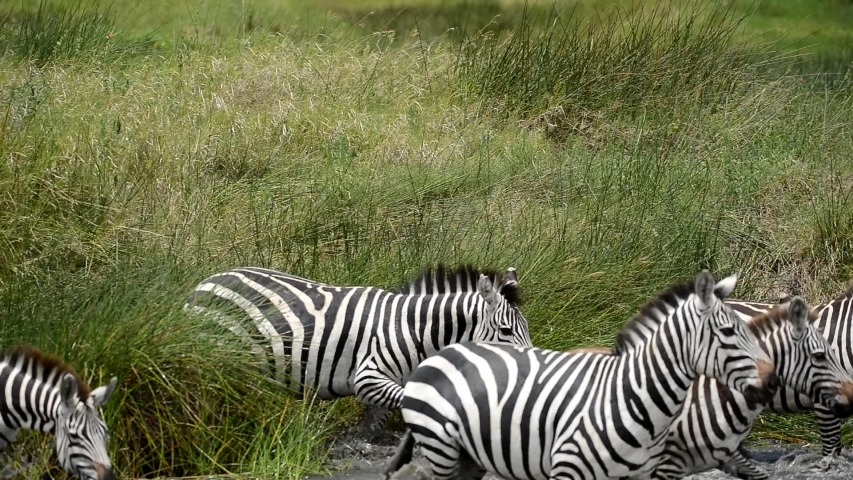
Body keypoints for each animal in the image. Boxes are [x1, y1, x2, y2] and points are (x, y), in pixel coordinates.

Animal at [184, 264, 532, 436]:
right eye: (505, 332)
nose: (531, 370)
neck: (413, 332)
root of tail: (204, 282)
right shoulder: (368, 375)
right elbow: (408, 401)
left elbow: (376, 420)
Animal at [384, 270, 780, 480]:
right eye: (728, 332)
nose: (773, 382)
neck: (634, 400)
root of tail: (445, 351)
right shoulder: (567, 468)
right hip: (441, 447)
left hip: (468, 457)